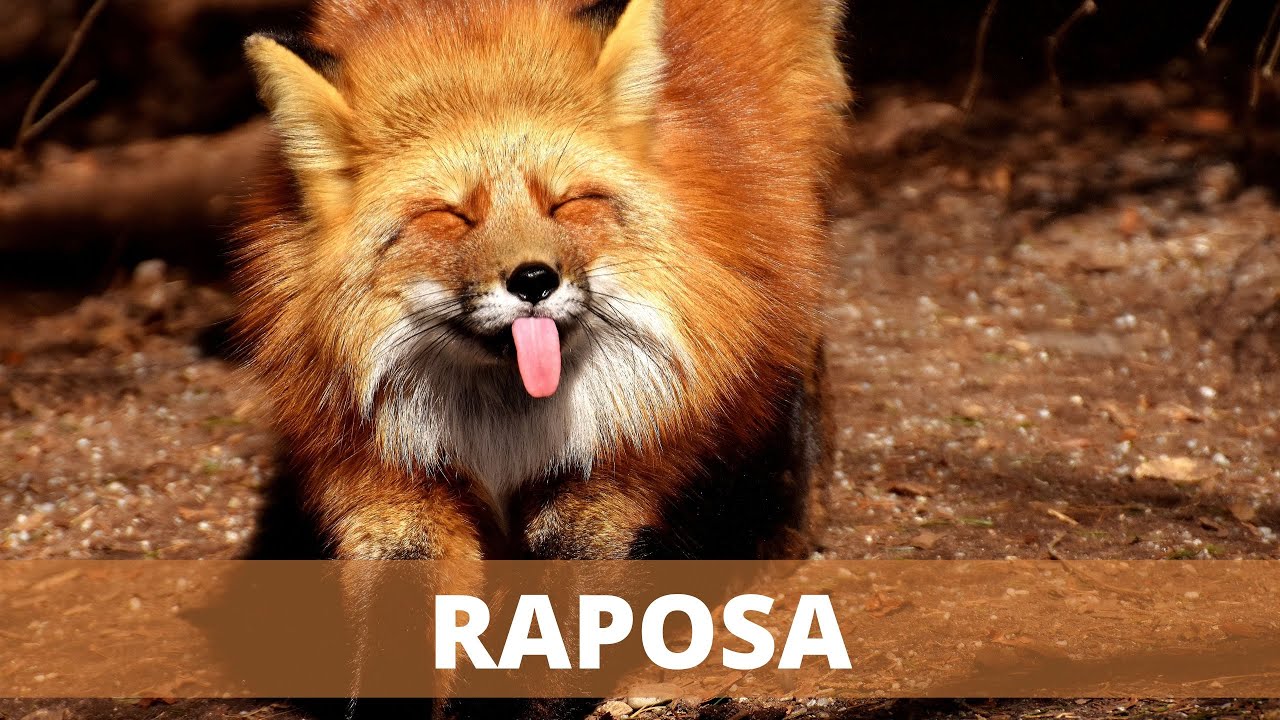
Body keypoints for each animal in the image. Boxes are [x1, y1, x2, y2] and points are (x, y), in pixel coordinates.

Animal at [238, 0, 848, 565]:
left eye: (567, 203)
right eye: (450, 215)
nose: (534, 280)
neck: (505, 439)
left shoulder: (612, 479)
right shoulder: (389, 485)